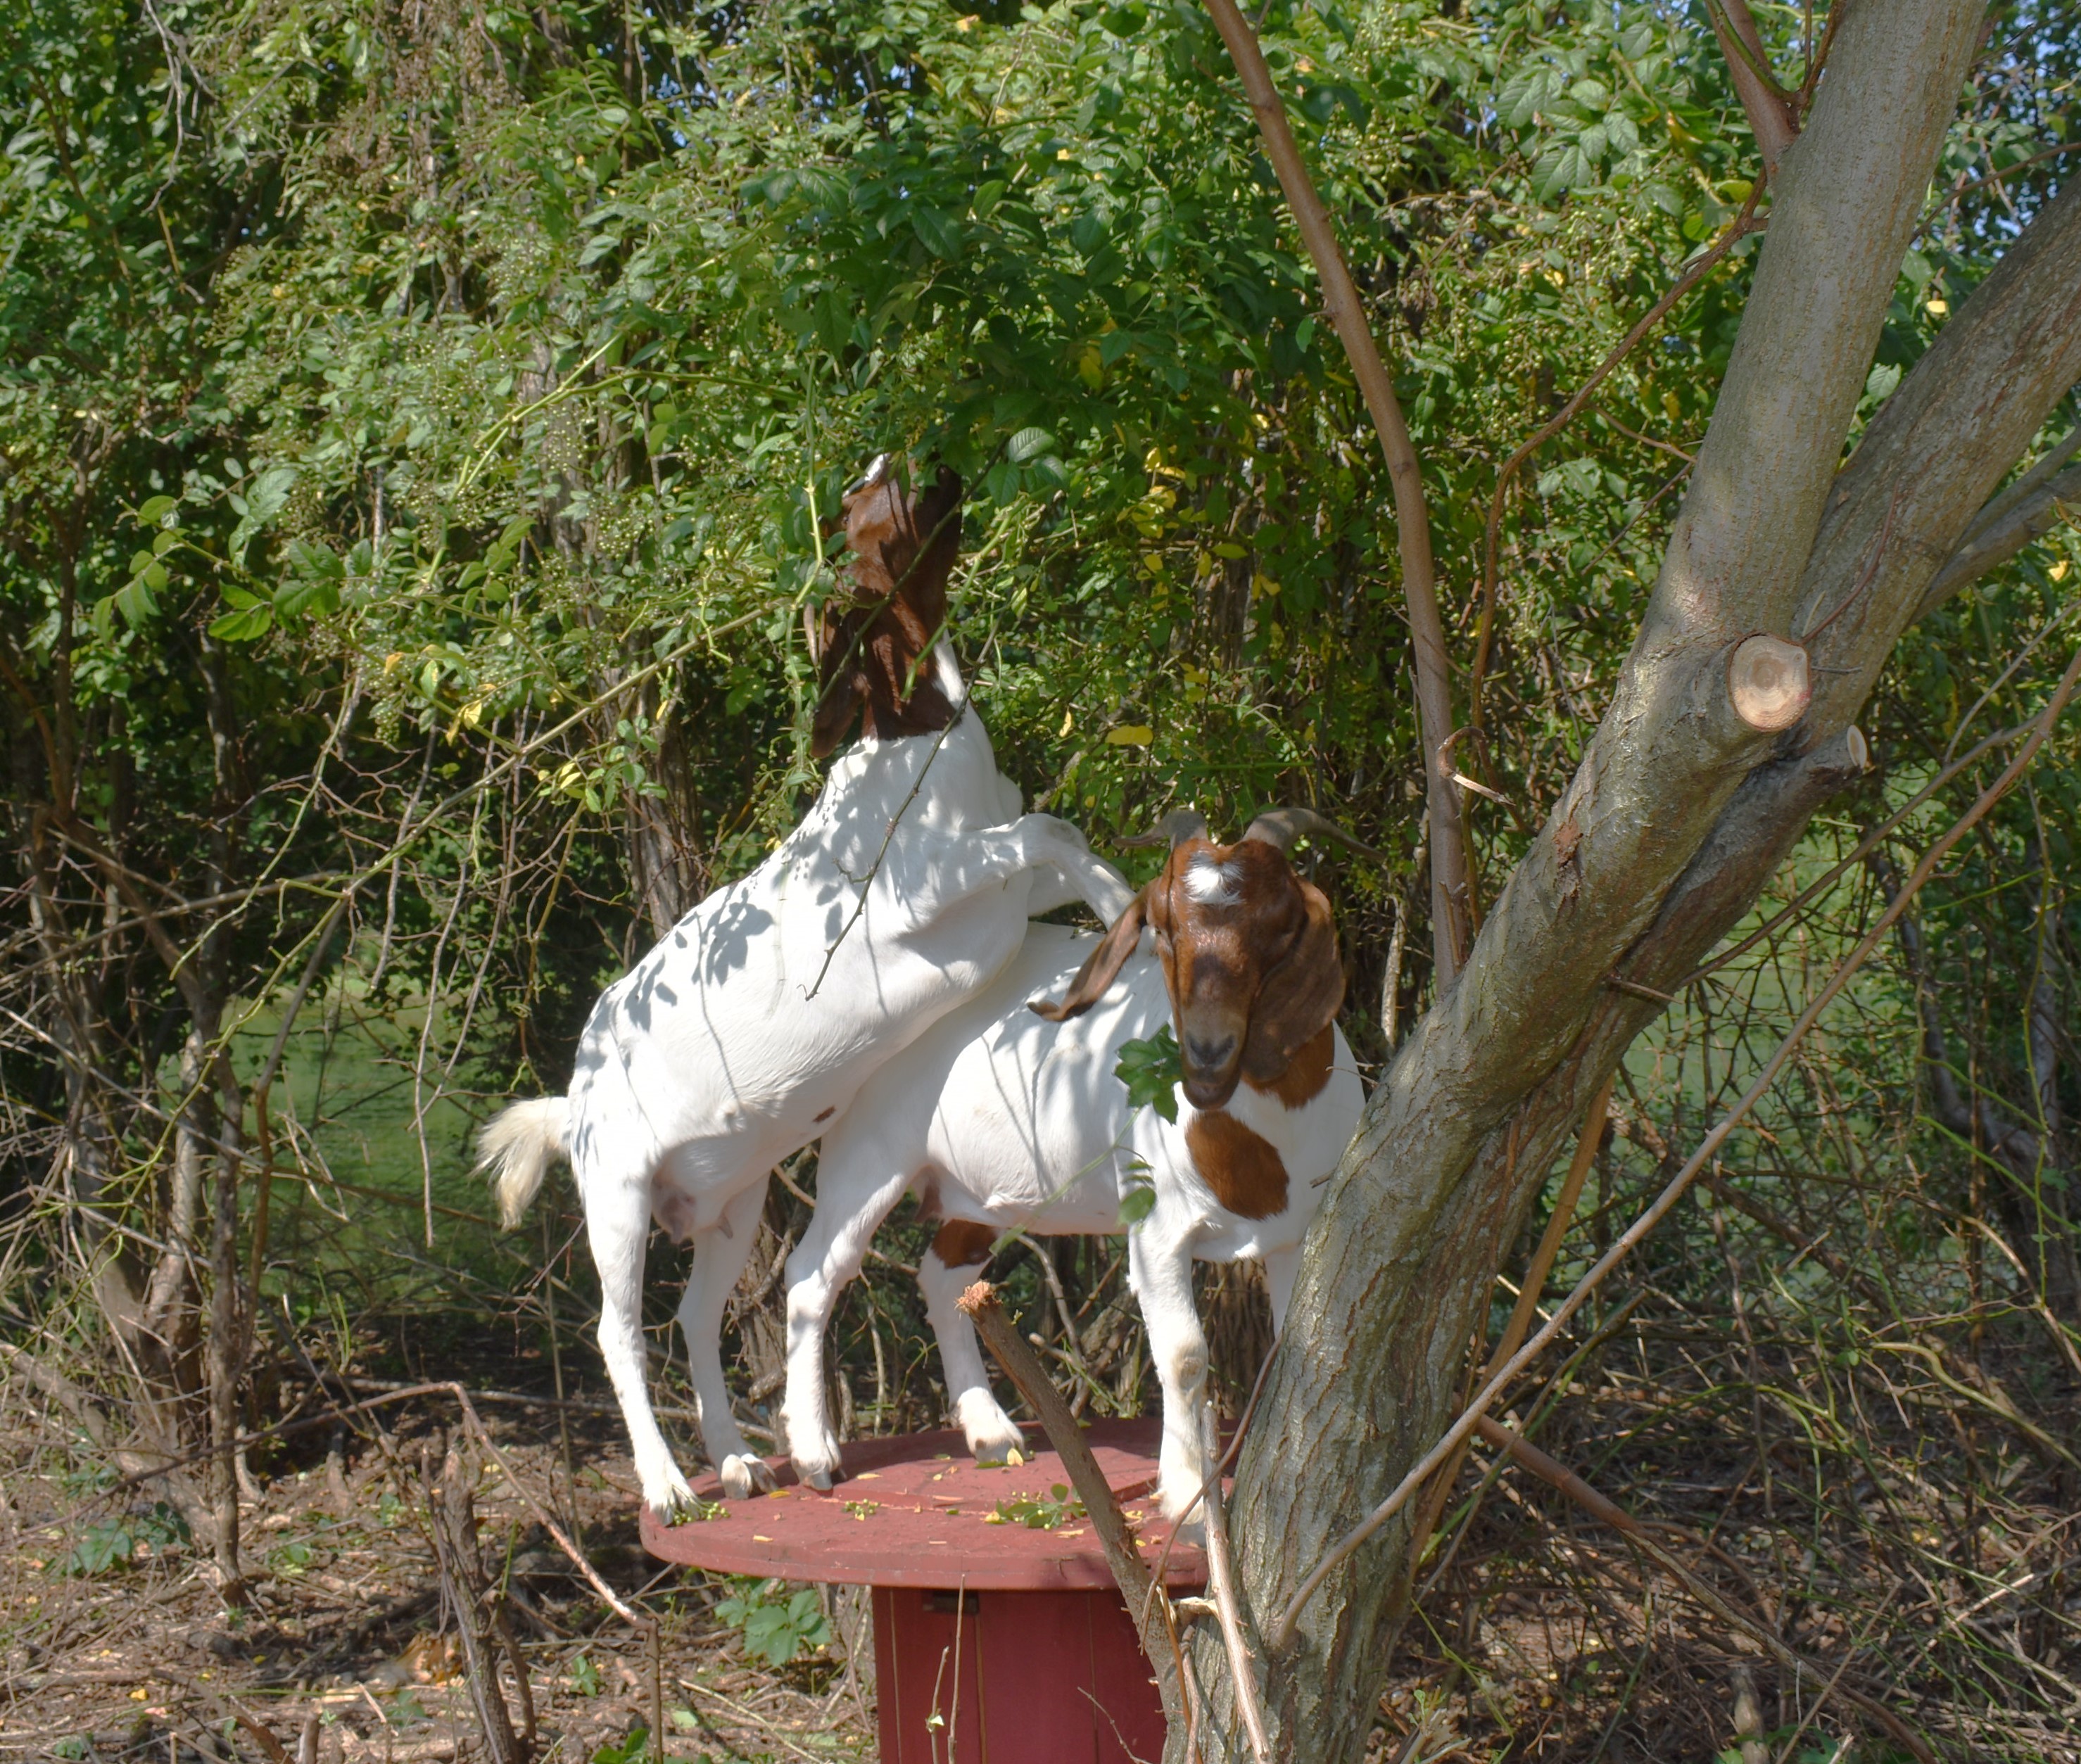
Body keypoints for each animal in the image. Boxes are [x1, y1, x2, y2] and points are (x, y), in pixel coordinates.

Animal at [475, 461, 1135, 1518]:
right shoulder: (914, 900)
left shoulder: (1000, 894)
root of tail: (573, 1095)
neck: (918, 749)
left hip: (727, 1201)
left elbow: (1058, 845)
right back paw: (670, 1481)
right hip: (616, 1191)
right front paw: (1127, 915)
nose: (895, 461)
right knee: (618, 1330)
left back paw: (741, 1457)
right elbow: (1046, 829)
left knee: (697, 1317)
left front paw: (1131, 910)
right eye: (876, 511)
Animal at [779, 807, 1367, 1518]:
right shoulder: (1157, 1231)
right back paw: (814, 1453)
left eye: (1280, 925)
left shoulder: (1295, 1232)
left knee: (941, 1276)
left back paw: (989, 1432)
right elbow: (1183, 1355)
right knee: (815, 1274)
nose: (1206, 1053)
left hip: (983, 1193)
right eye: (1162, 927)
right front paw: (1185, 1497)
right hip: (866, 1158)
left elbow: (1291, 1342)